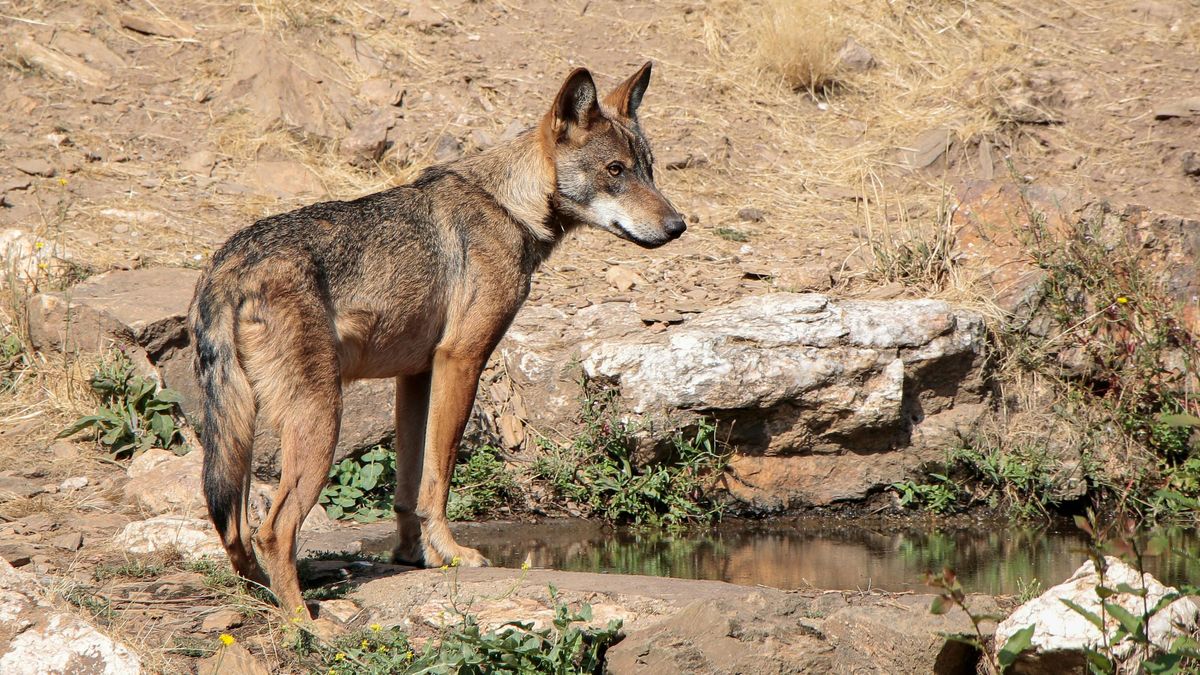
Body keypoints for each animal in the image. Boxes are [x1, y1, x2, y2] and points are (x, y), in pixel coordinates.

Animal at [188, 61, 685, 618]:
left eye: (648, 169)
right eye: (615, 170)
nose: (678, 226)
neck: (509, 206)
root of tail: (227, 268)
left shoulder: (416, 375)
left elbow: (408, 488)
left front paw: (414, 556)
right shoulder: (462, 360)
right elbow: (438, 480)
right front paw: (452, 554)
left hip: (242, 430)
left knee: (235, 529)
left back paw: (268, 597)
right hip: (320, 420)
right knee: (272, 531)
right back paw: (310, 625)